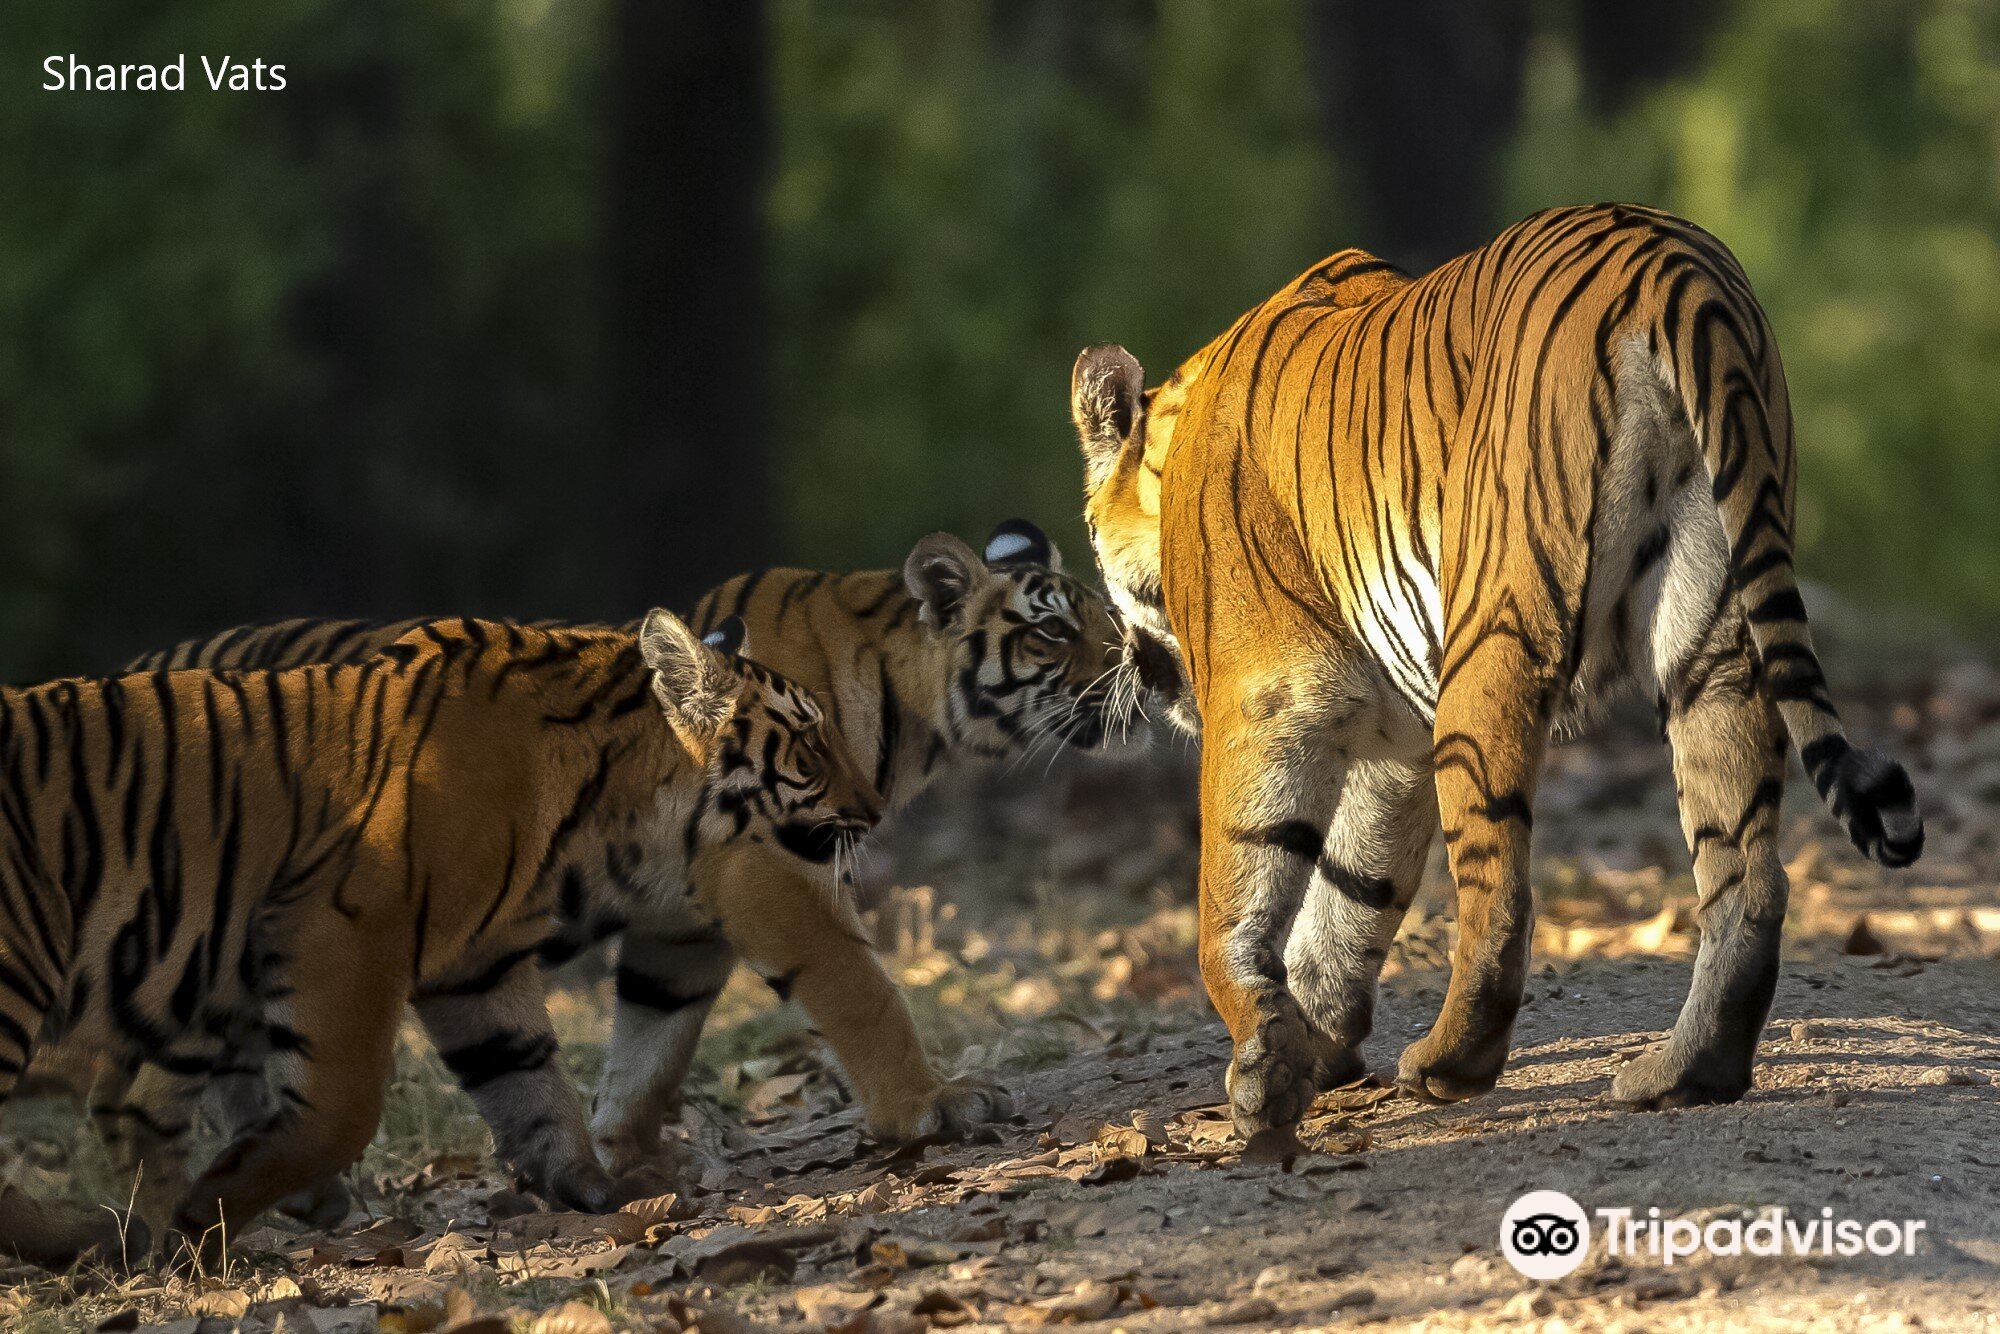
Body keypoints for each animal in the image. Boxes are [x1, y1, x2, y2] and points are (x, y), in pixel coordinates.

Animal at [0, 611, 877, 1267]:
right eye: (809, 742)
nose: (872, 812)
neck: (608, 801)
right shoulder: (349, 929)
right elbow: (344, 1109)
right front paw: (206, 1215)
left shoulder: (474, 965)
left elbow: (528, 1079)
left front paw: (594, 1188)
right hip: (27, 970)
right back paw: (114, 1236)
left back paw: (119, 1240)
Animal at [109, 520, 1144, 1181]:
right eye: (1054, 629)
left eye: (1104, 620)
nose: (1144, 663)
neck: (905, 709)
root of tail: (137, 665)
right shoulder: (770, 865)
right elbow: (861, 988)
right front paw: (933, 1108)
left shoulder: (682, 916)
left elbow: (655, 1038)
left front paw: (627, 1157)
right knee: (149, 1097)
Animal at [1068, 202, 1923, 1141]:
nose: (1126, 664)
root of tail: (1674, 260)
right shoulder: (1391, 742)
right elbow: (1351, 895)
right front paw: (1310, 1050)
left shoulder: (1263, 702)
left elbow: (1233, 896)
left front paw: (1262, 1074)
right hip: (1717, 632)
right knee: (1745, 873)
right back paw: (1686, 1072)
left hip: (1491, 634)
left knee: (1501, 889)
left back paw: (1450, 1065)